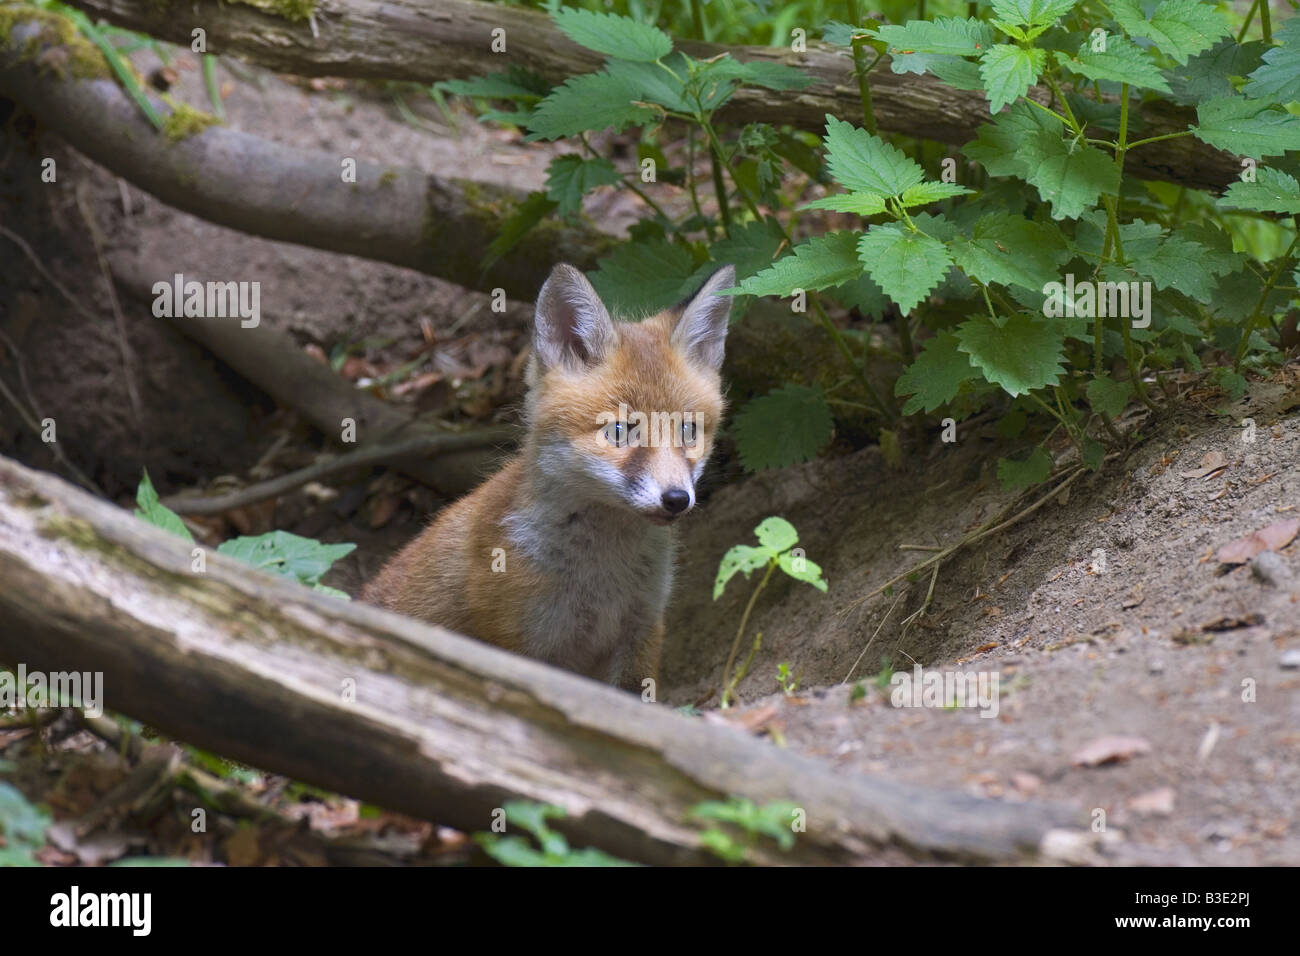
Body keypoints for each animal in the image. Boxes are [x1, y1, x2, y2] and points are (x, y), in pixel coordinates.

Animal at [363, 262, 734, 692]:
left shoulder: (642, 626)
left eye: (688, 431)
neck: (602, 574)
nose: (676, 499)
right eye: (619, 431)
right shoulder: (519, 642)